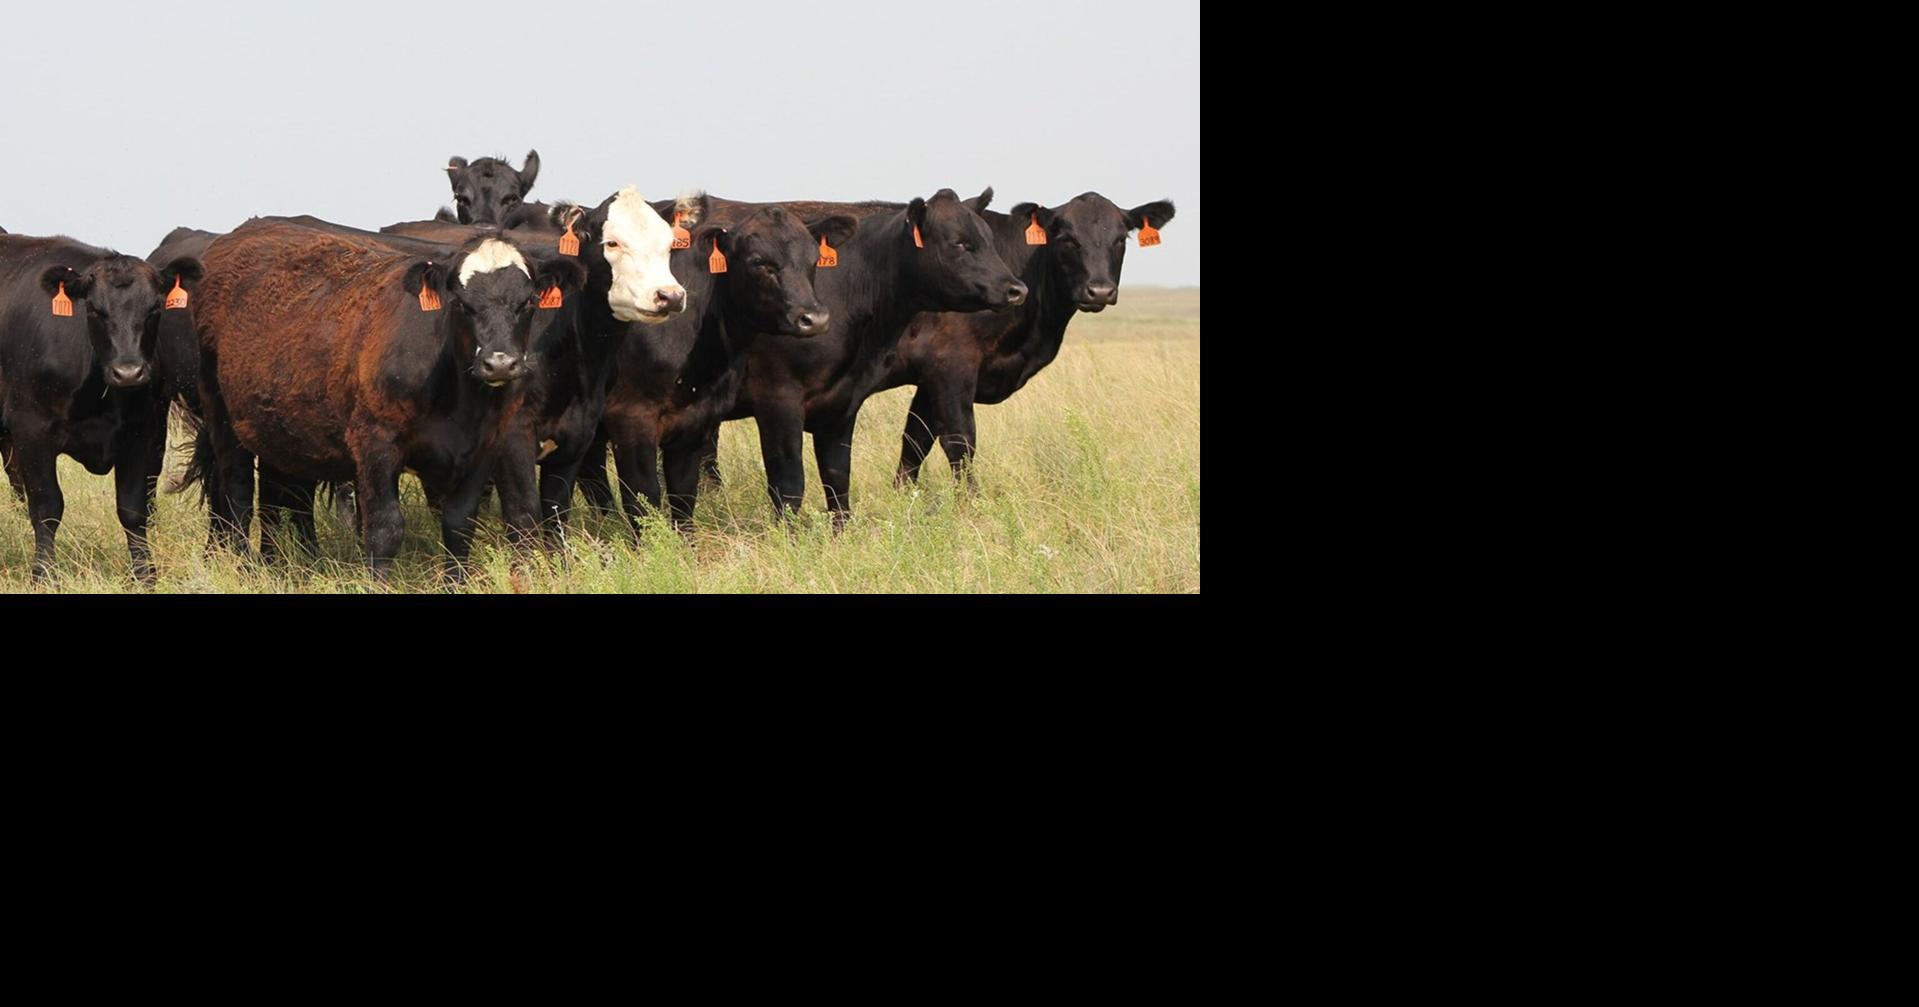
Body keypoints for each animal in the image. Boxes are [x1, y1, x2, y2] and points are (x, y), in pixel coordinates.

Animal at [0, 232, 203, 582]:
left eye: (154, 308)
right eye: (95, 309)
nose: (128, 372)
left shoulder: (142, 433)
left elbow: (133, 509)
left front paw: (145, 574)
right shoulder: (31, 428)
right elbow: (47, 506)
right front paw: (44, 573)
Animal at [190, 218, 586, 582]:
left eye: (529, 301)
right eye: (461, 302)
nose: (499, 362)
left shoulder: (484, 449)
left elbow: (459, 525)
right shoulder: (375, 444)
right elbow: (385, 529)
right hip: (221, 415)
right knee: (237, 493)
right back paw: (244, 568)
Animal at [891, 192, 1175, 485]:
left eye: (1120, 239)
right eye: (1067, 239)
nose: (1099, 291)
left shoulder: (929, 379)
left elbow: (914, 444)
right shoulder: (950, 365)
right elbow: (959, 444)